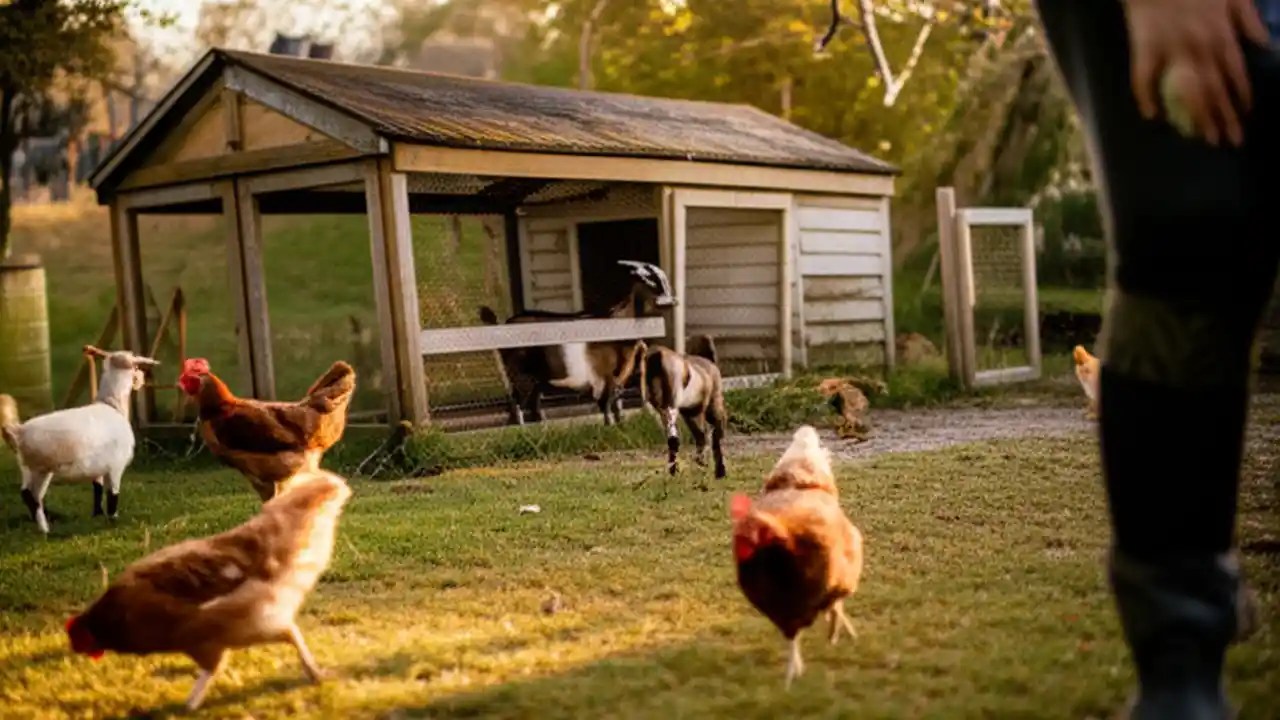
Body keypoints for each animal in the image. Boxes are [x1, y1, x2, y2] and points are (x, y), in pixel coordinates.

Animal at [1, 346, 158, 533]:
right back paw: (46, 529)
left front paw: (97, 515)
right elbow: (113, 495)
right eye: (135, 365)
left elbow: (97, 488)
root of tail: (19, 431)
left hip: (31, 468)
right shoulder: (115, 466)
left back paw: (42, 526)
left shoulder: (100, 467)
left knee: (31, 493)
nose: (143, 377)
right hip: (37, 467)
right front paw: (113, 521)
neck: (111, 404)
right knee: (28, 494)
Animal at [479, 261, 676, 426]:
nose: (671, 301)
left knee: (532, 402)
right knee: (517, 402)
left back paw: (542, 424)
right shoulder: (605, 376)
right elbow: (607, 405)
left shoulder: (617, 377)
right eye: (650, 281)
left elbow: (614, 405)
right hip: (521, 374)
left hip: (536, 377)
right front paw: (610, 426)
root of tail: (503, 326)